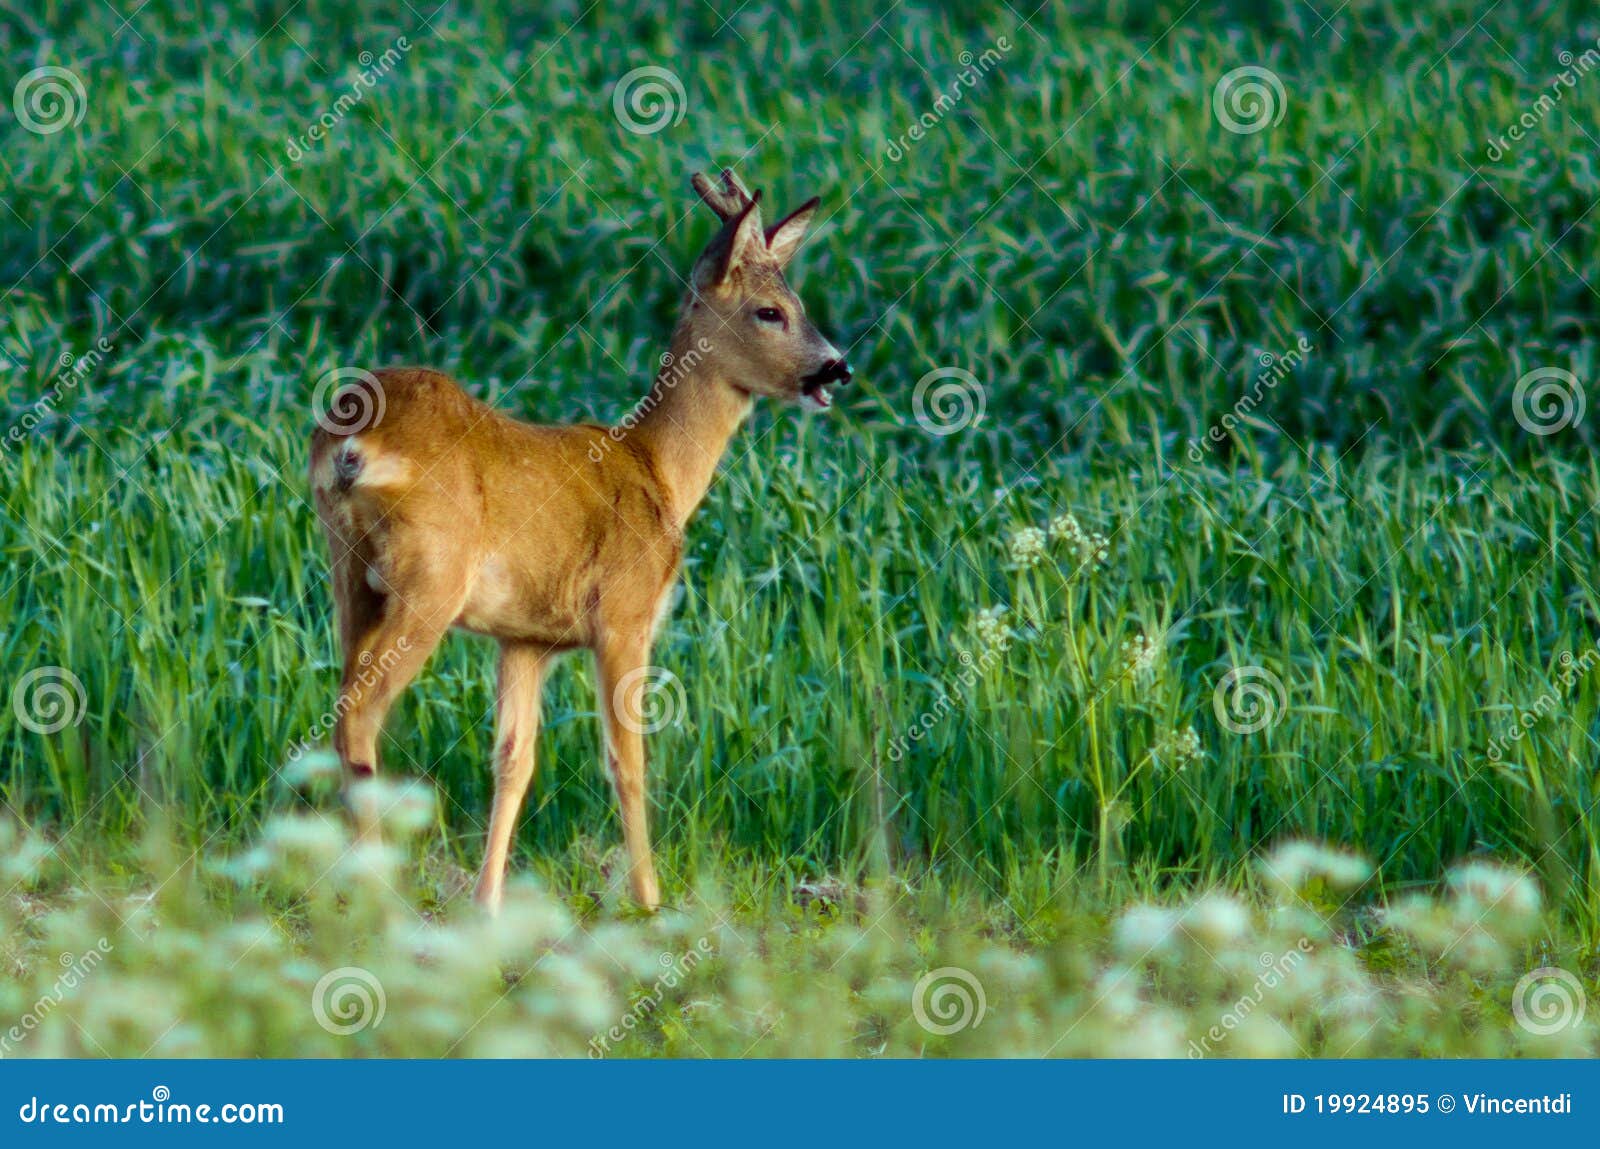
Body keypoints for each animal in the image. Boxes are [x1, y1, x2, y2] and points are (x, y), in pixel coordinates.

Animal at [309, 169, 851, 912]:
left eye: (799, 302)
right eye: (771, 311)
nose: (836, 368)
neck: (658, 471)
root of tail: (350, 440)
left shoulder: (525, 638)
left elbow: (514, 759)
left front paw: (488, 900)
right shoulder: (624, 612)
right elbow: (628, 759)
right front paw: (650, 899)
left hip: (348, 572)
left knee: (341, 706)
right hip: (431, 578)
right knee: (361, 715)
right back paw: (376, 888)